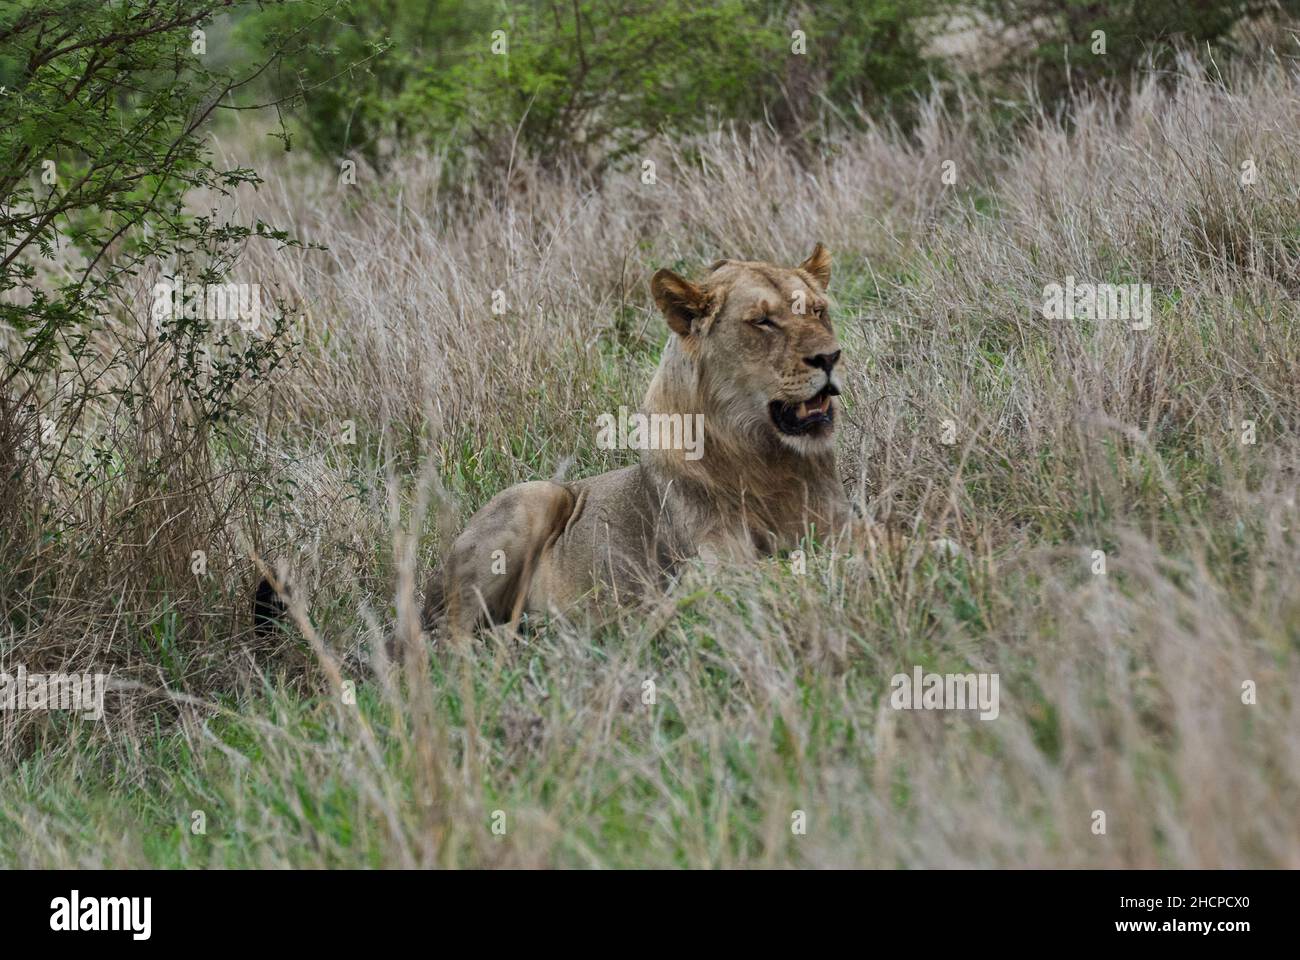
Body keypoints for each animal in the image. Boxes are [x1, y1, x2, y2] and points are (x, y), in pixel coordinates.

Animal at [421, 243, 912, 636]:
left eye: (816, 310)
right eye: (763, 322)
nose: (830, 357)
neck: (767, 458)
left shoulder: (838, 524)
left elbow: (890, 538)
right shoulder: (711, 571)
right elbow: (786, 569)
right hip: (535, 497)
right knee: (449, 639)